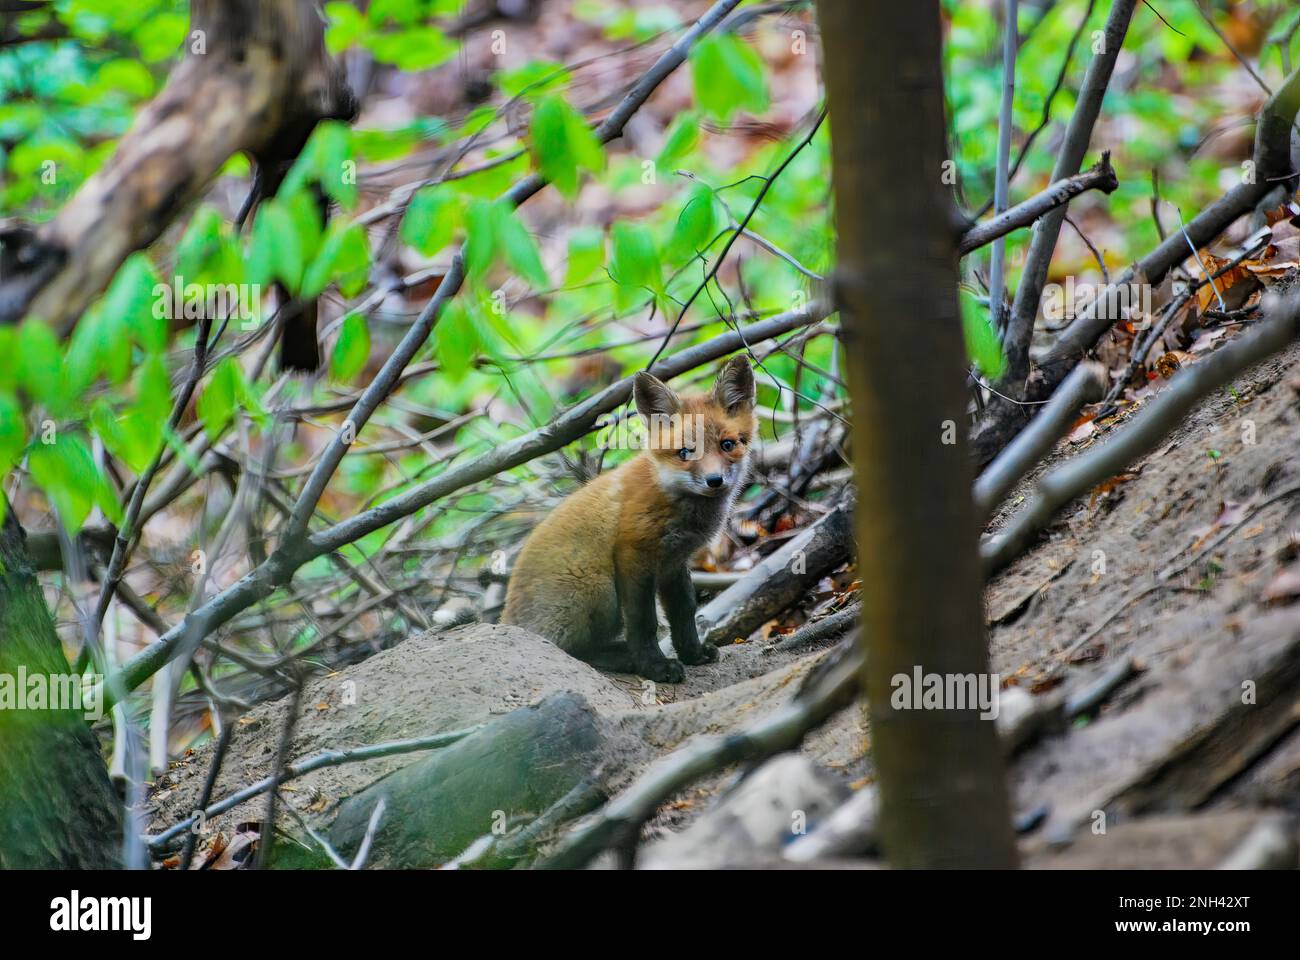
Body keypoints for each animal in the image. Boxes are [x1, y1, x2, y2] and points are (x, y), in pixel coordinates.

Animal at [502, 355, 757, 683]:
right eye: (685, 452)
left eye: (727, 444)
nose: (715, 481)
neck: (669, 491)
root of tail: (508, 621)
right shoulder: (633, 555)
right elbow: (644, 622)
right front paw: (655, 667)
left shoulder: (674, 562)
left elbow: (684, 612)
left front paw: (693, 654)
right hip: (600, 588)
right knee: (575, 652)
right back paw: (625, 658)